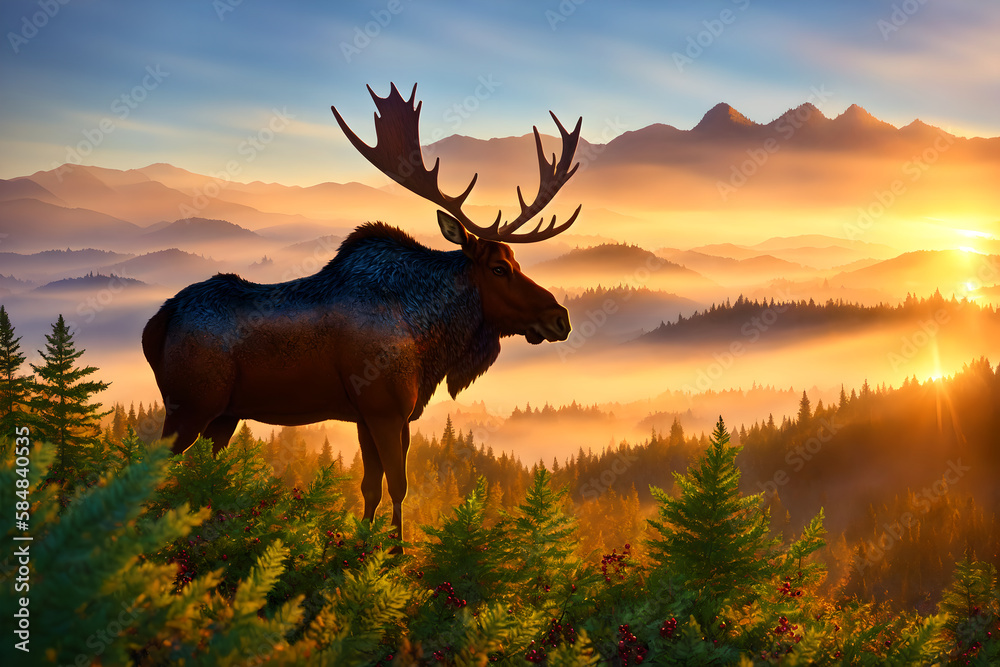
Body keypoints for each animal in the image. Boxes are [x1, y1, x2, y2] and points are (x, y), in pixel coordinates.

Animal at [142, 83, 582, 546]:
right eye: (499, 268)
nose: (561, 318)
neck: (429, 340)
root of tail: (156, 324)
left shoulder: (377, 415)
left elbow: (372, 486)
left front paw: (364, 543)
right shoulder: (383, 409)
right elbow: (398, 485)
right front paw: (396, 549)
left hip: (224, 415)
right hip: (188, 405)